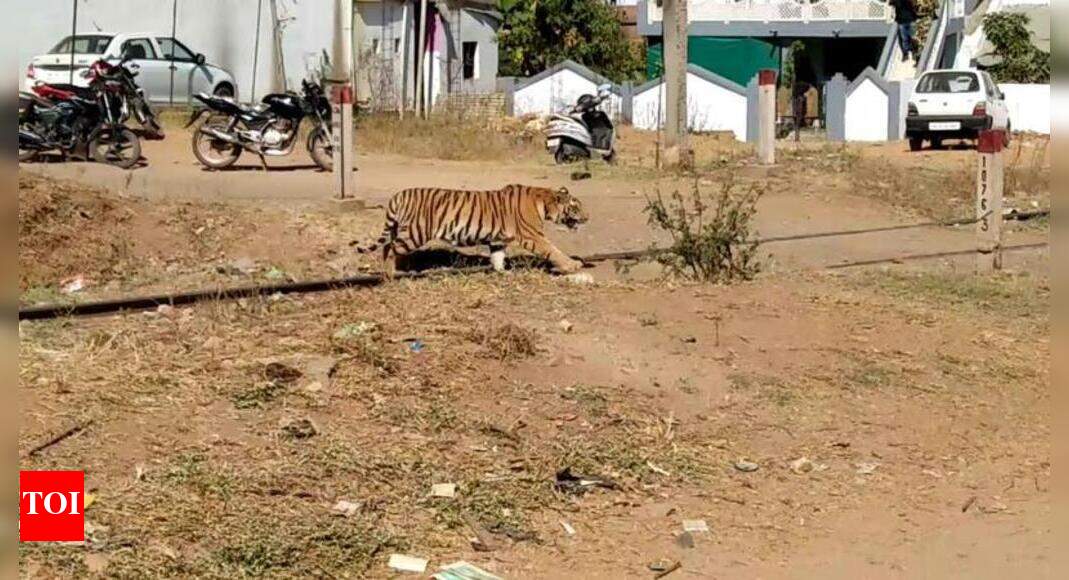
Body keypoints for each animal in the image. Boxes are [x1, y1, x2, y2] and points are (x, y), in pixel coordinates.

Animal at [352, 184, 589, 278]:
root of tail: (399, 195)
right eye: (576, 207)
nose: (587, 217)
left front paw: (503, 272)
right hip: (416, 233)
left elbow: (498, 257)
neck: (544, 202)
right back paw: (390, 274)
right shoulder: (533, 236)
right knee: (390, 249)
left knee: (387, 247)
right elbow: (554, 250)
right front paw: (572, 265)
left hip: (401, 231)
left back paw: (398, 270)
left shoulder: (498, 240)